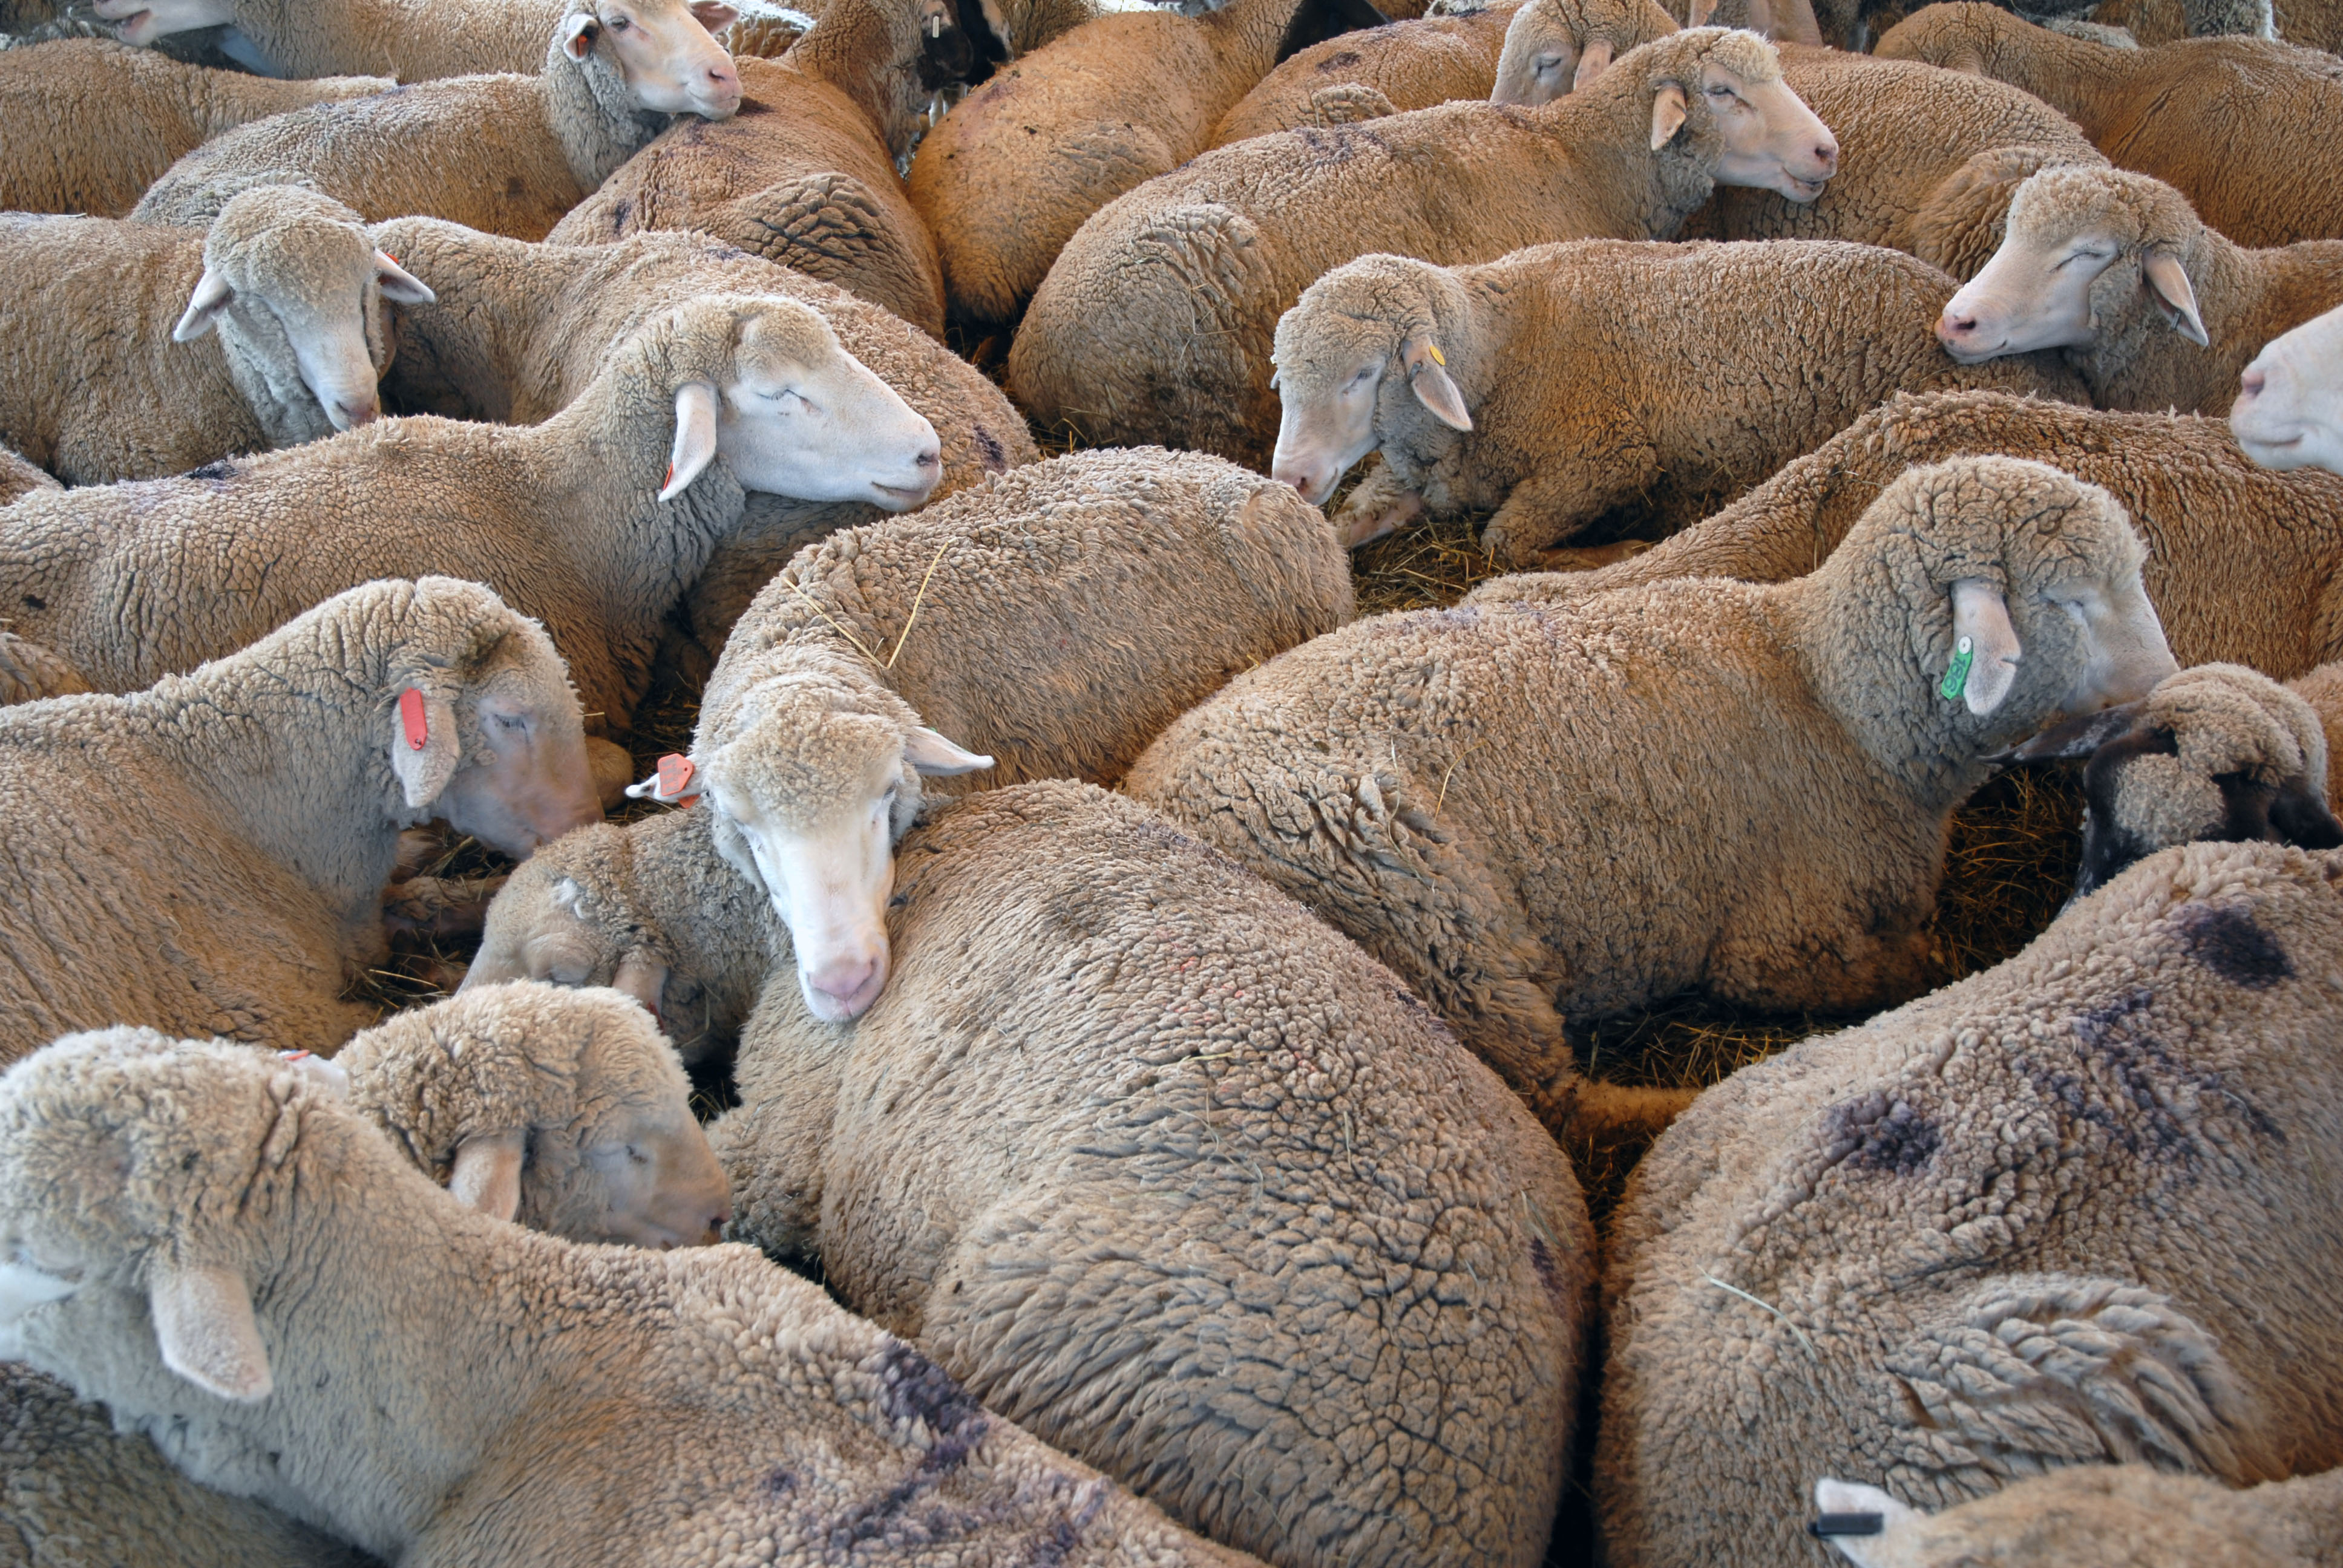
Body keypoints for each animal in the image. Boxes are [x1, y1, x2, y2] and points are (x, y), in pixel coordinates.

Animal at [1122, 457, 2178, 1141]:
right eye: (2073, 599)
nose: (2172, 688)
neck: (1836, 702)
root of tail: (1148, 786)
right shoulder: (1778, 948)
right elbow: (1906, 968)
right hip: (1435, 920)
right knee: (1559, 1101)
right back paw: (1691, 1105)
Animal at [1267, 242, 2083, 569]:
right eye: (1282, 379)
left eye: (1363, 374)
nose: (1291, 478)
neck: (1496, 352)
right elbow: (1348, 526)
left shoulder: (1605, 458)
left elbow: (1501, 542)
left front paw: (1616, 552)